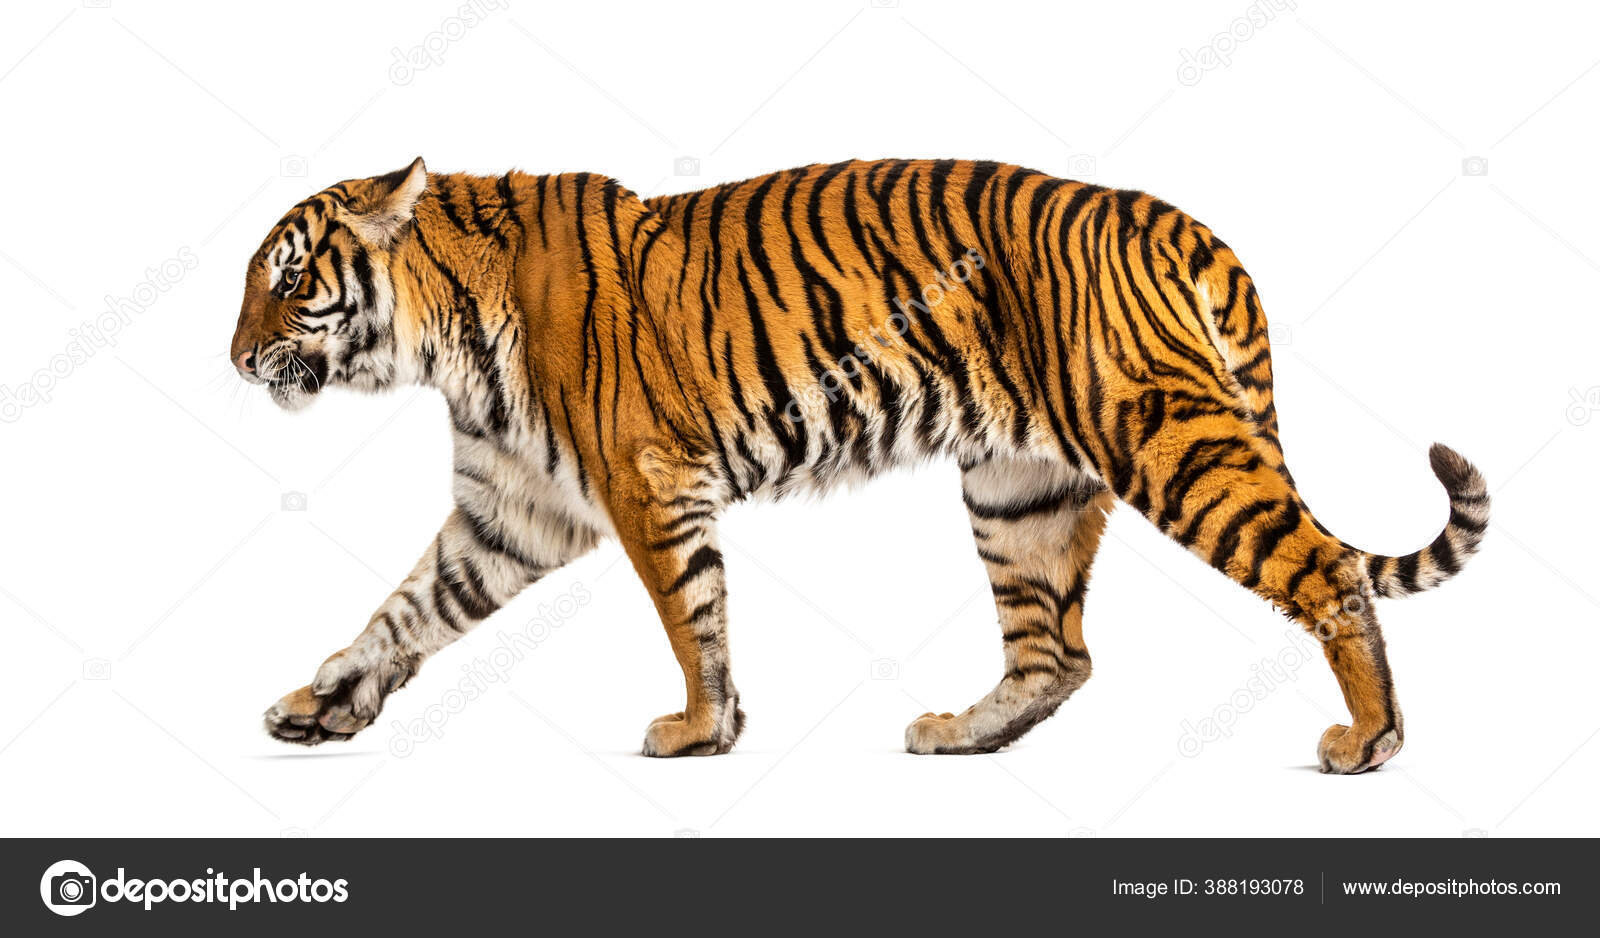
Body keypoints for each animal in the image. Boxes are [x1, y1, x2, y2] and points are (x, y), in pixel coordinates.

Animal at [230, 156, 1488, 773]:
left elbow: (691, 614)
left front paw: (700, 730)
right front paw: (320, 702)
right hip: (1019, 490)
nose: (236, 358)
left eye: (290, 281)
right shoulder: (511, 510)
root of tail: (1169, 219)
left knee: (1325, 568)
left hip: (1168, 438)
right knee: (1060, 653)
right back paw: (962, 734)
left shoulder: (647, 482)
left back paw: (1369, 742)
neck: (439, 337)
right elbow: (408, 607)